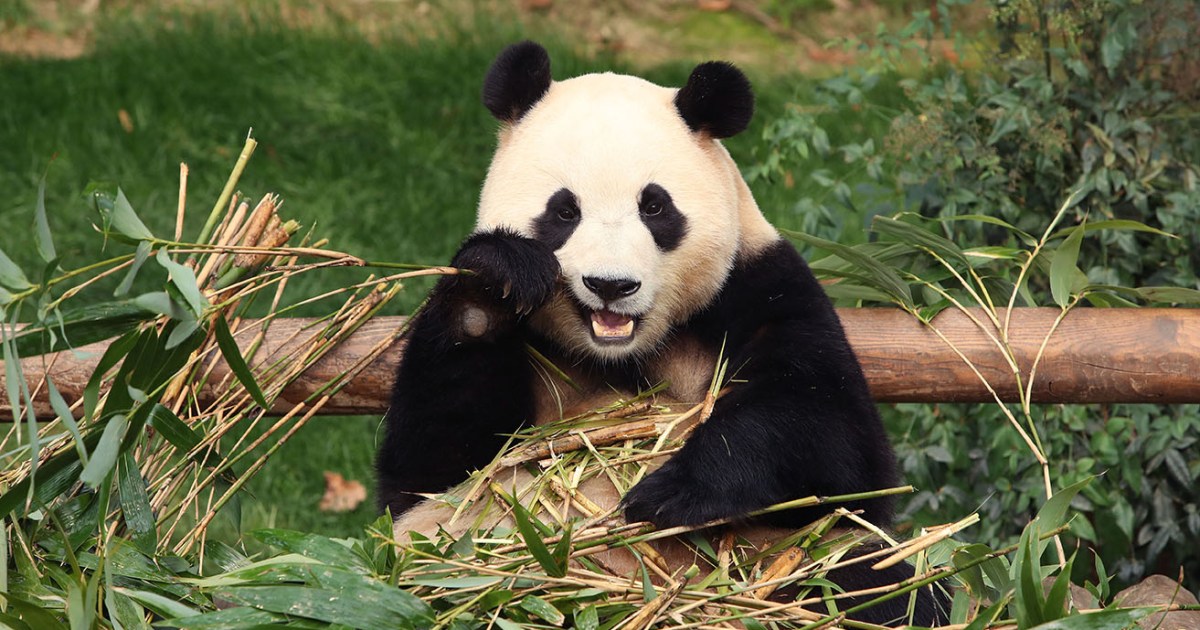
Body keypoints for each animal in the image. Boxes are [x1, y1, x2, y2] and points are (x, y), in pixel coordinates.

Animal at [376, 41, 946, 626]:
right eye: (564, 210)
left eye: (654, 206)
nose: (611, 285)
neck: (625, 353)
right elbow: (431, 467)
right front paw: (495, 279)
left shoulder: (760, 288)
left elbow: (833, 438)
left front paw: (670, 492)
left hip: (794, 561)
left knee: (879, 587)